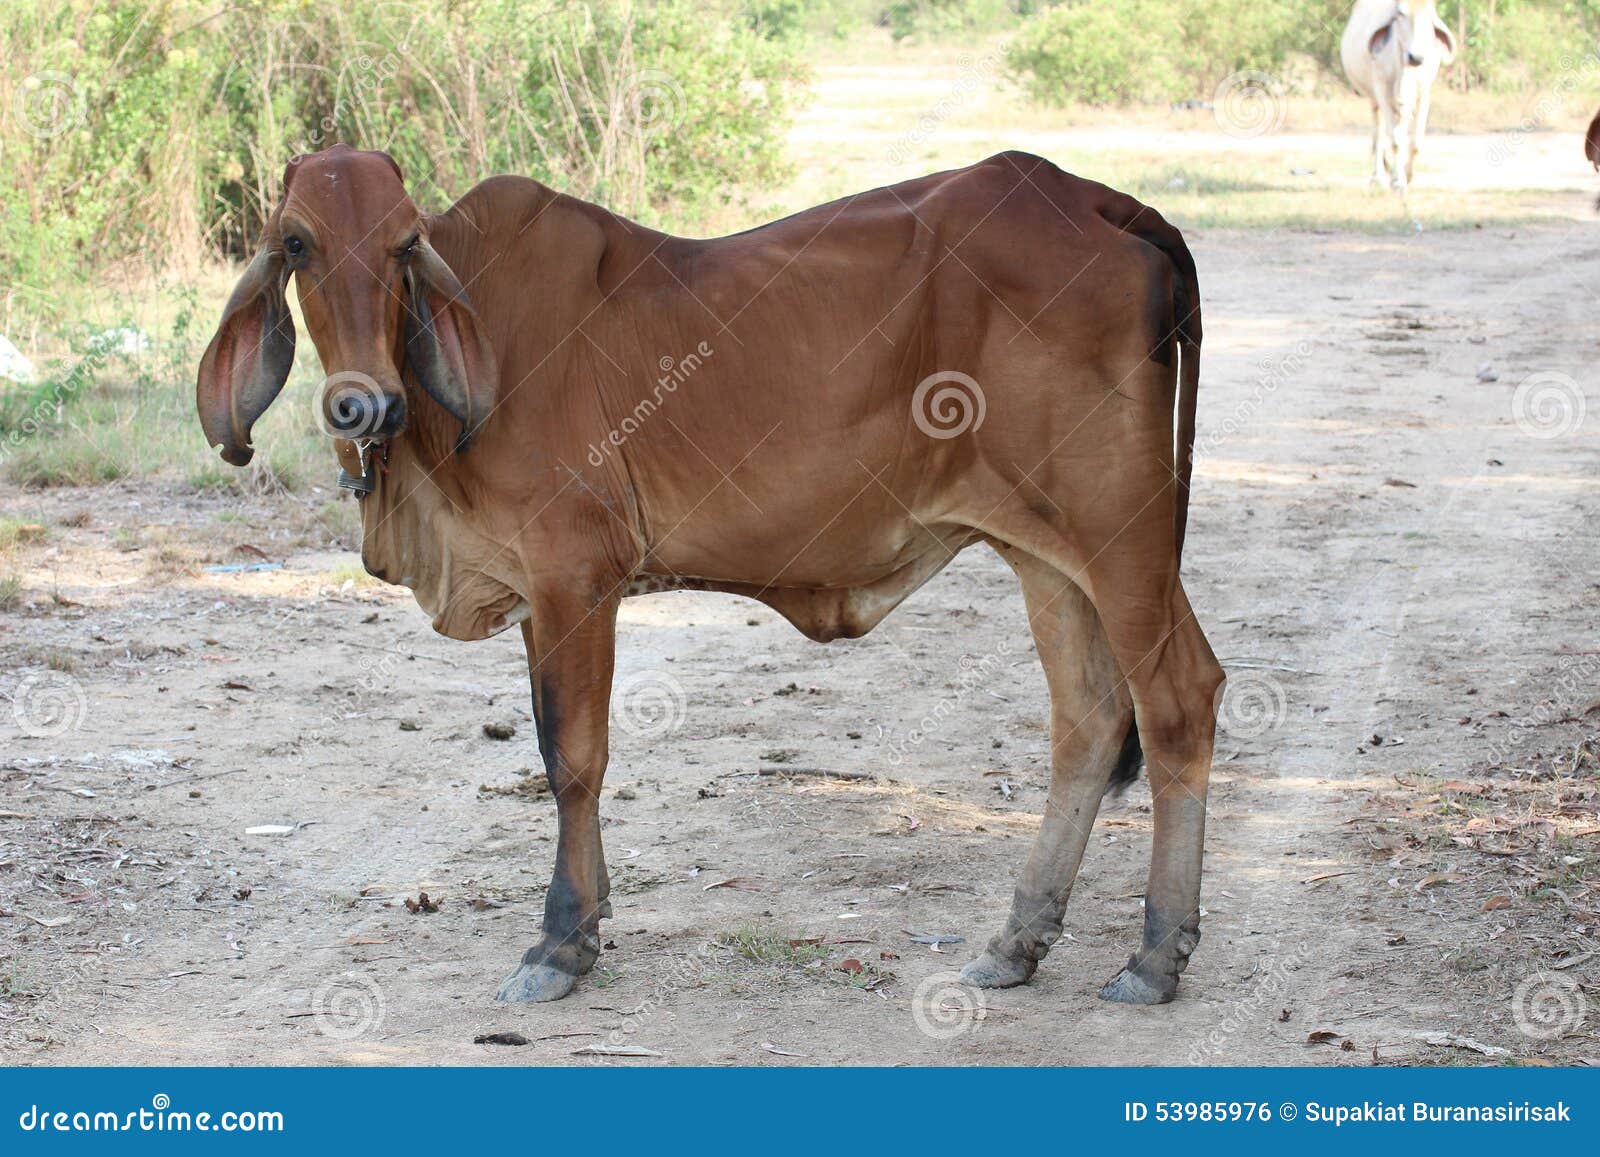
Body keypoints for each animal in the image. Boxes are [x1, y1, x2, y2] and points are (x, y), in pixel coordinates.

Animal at [196, 144, 1223, 1006]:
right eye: (298, 241)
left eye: (405, 242)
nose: (361, 403)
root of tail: (1098, 200)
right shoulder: (539, 595)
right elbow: (557, 748)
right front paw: (591, 918)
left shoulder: (575, 575)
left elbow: (572, 757)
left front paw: (559, 943)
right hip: (1046, 554)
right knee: (1089, 719)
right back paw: (1017, 941)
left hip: (1122, 536)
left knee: (1180, 699)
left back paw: (1155, 953)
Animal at [1341, 0, 1457, 193]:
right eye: (1401, 14)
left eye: (1429, 15)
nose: (1416, 57)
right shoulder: (1382, 90)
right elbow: (1395, 140)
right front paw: (1398, 182)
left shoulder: (1423, 92)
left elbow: (1415, 142)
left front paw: (1407, 176)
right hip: (1374, 99)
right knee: (1379, 134)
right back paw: (1379, 176)